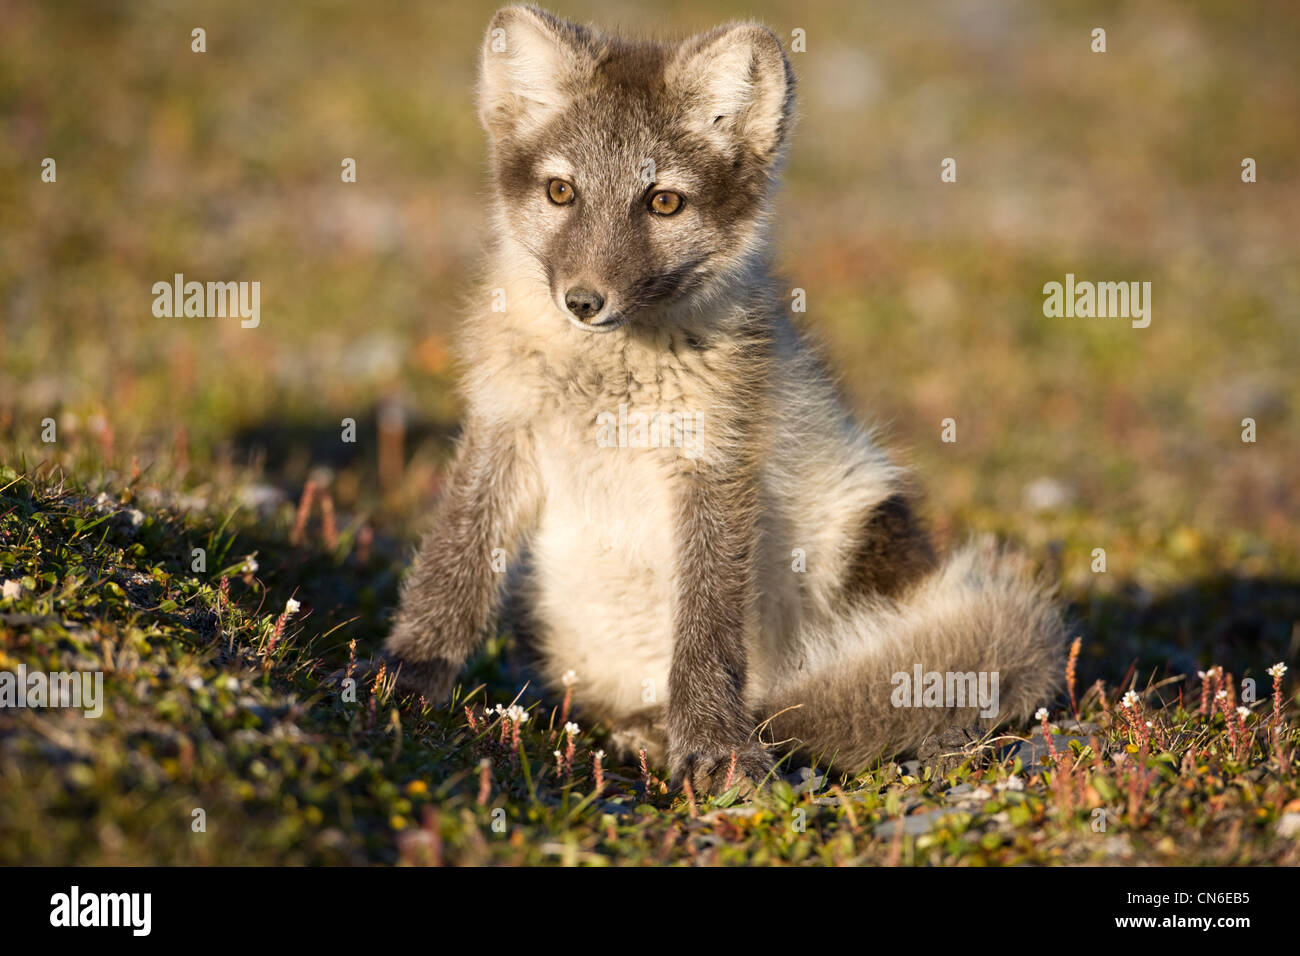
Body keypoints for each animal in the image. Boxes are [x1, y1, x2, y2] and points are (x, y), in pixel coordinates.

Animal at [384, 5, 1066, 794]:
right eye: (561, 192)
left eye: (663, 202)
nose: (584, 301)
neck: (607, 385)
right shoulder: (505, 427)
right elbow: (451, 568)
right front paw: (405, 678)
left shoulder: (714, 463)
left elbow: (707, 631)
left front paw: (715, 745)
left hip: (861, 531)